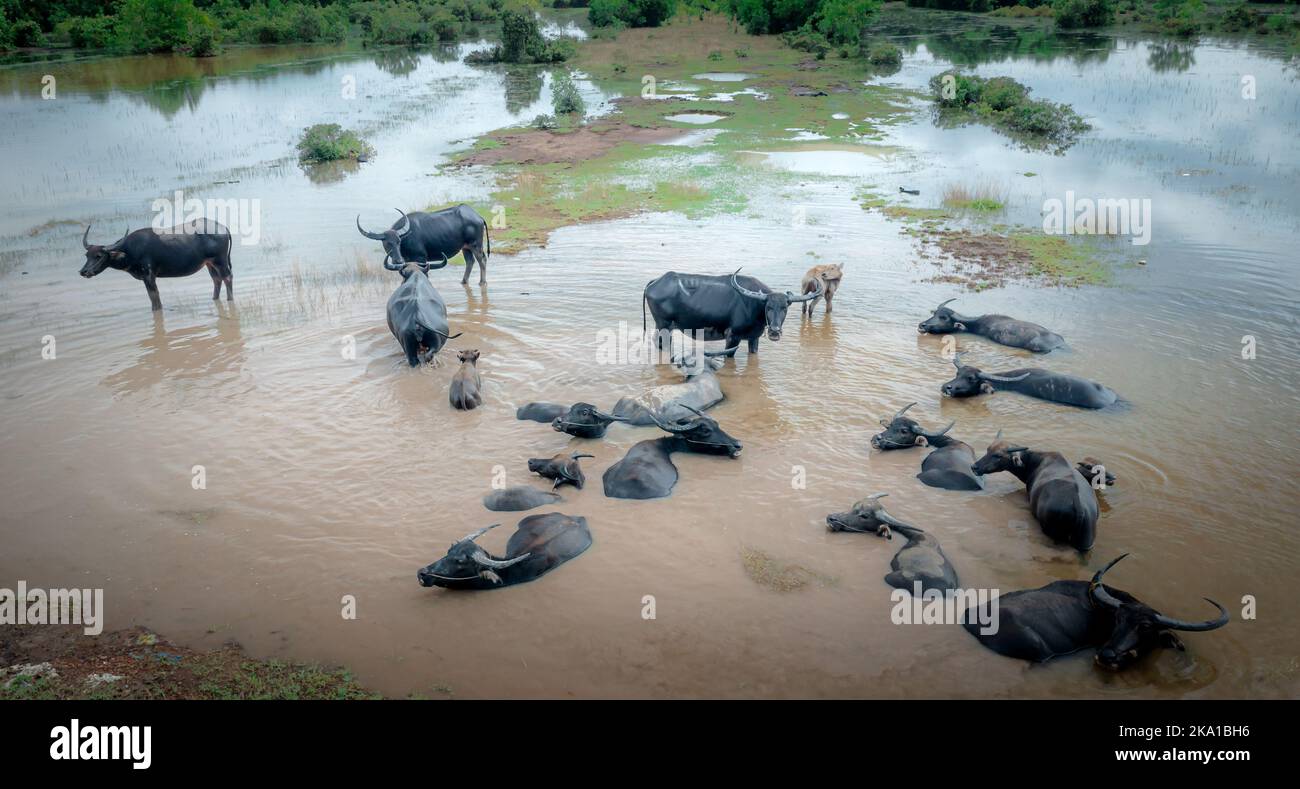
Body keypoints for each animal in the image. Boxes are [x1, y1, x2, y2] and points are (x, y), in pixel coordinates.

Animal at [80, 220, 233, 311]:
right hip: (209, 264)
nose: (83, 271)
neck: (130, 250)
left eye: (99, 256)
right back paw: (215, 298)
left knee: (227, 278)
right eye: (87, 255)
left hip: (220, 261)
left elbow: (154, 296)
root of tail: (222, 227)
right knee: (216, 280)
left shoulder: (149, 276)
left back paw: (230, 299)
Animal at [357, 205, 490, 285]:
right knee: (470, 262)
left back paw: (482, 282)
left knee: (482, 260)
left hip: (476, 245)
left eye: (399, 241)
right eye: (388, 243)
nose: (398, 260)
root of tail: (478, 216)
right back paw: (463, 281)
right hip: (465, 247)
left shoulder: (421, 258)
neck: (407, 238)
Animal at [642, 268, 822, 355]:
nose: (775, 332)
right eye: (768, 307)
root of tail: (655, 282)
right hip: (663, 325)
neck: (755, 306)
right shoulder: (732, 337)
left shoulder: (753, 338)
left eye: (785, 307)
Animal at [971, 432, 1111, 551]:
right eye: (988, 450)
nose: (974, 467)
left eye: (998, 455)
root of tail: (1079, 505)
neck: (1033, 462)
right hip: (1086, 540)